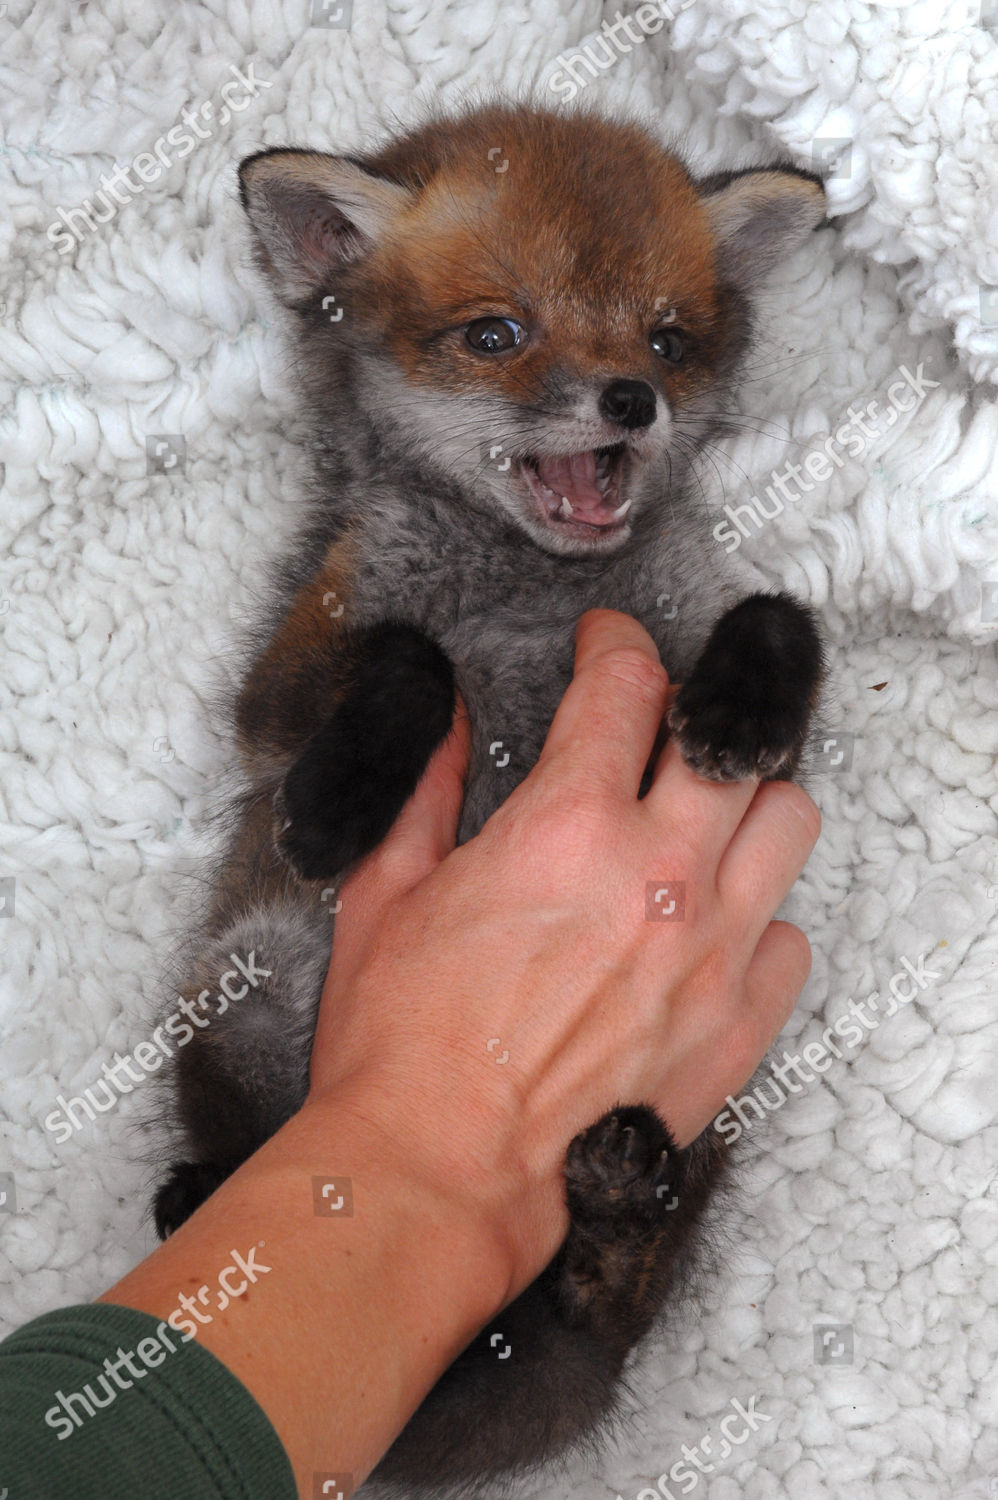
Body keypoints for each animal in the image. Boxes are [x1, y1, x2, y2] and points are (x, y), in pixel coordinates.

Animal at [150, 98, 826, 1496]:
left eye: (666, 343)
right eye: (496, 335)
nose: (627, 402)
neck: (533, 592)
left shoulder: (720, 662)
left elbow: (776, 613)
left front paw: (739, 709)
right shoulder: (287, 674)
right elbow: (404, 660)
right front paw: (340, 800)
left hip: (705, 1125)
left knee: (608, 1312)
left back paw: (611, 1225)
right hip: (244, 981)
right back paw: (199, 1194)